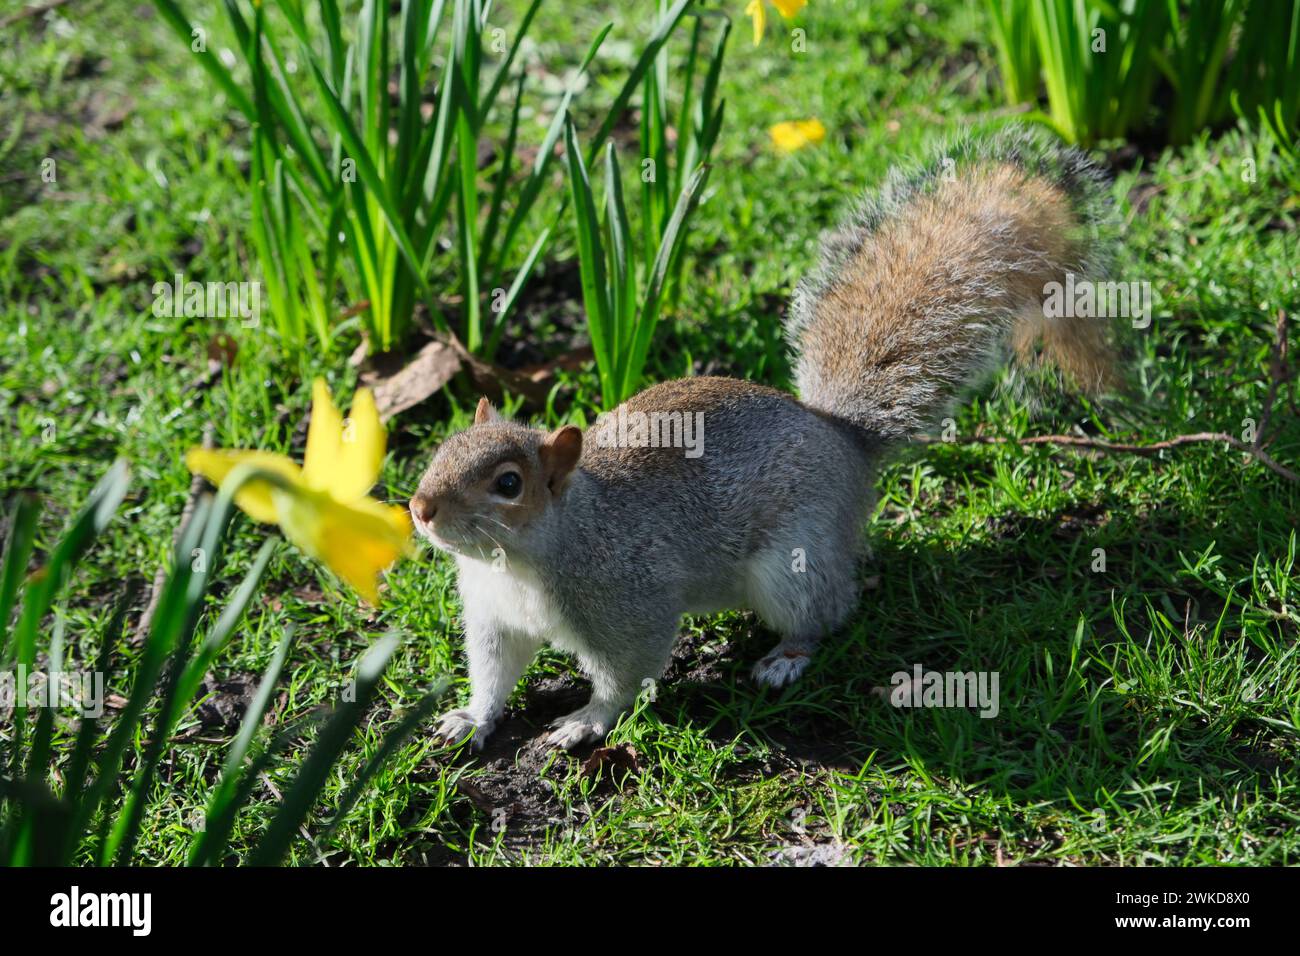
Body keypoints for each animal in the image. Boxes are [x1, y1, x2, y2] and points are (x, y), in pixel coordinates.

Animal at [411, 126, 1117, 750]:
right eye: (441, 451)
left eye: (509, 484)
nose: (419, 508)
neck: (520, 560)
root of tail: (842, 438)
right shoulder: (495, 619)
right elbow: (494, 673)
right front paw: (472, 718)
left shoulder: (628, 599)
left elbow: (624, 671)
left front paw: (586, 721)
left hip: (792, 561)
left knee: (830, 609)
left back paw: (786, 657)